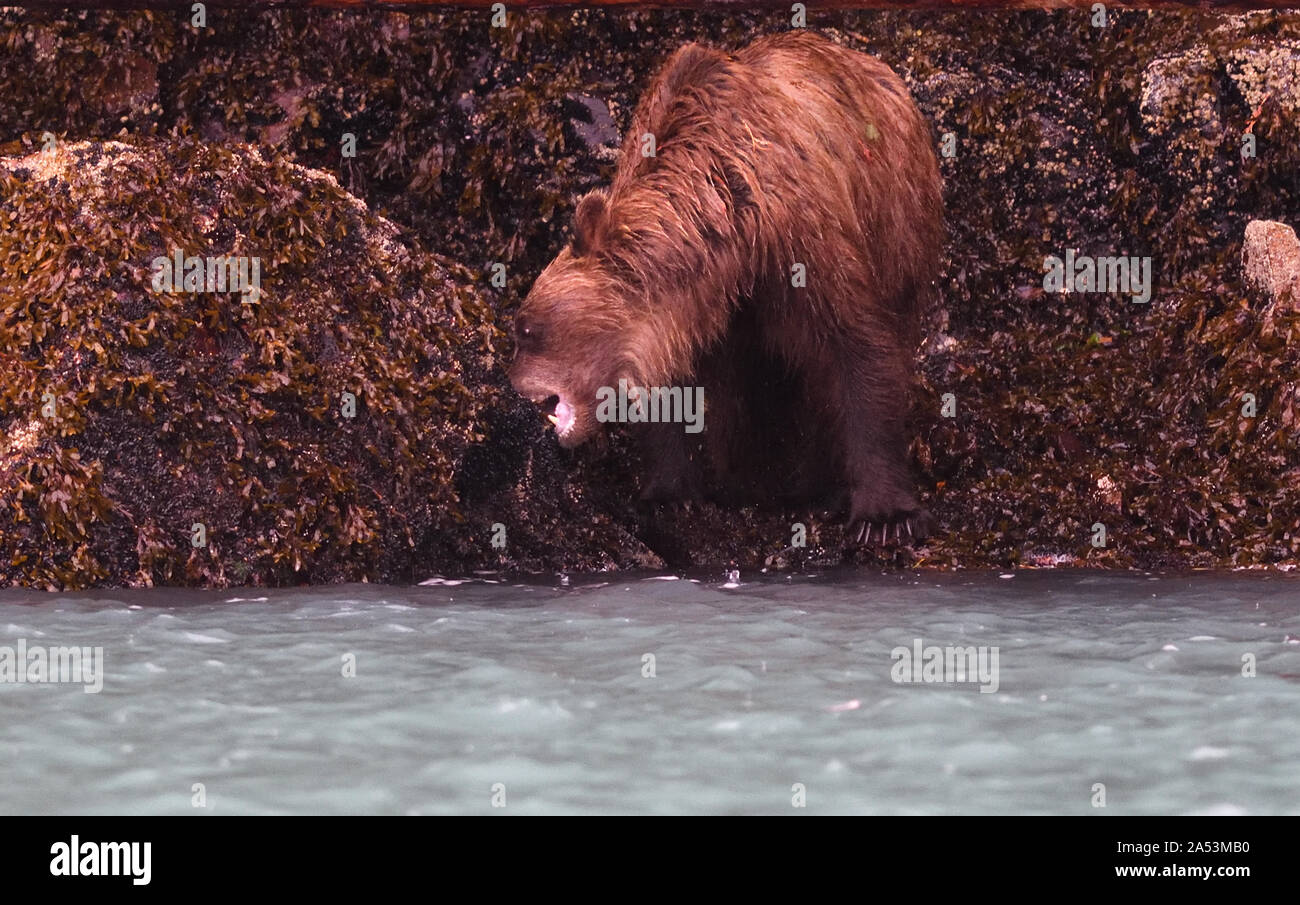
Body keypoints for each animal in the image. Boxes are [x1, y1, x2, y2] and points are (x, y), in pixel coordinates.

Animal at [509, 31, 944, 543]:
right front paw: (669, 493)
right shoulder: (682, 319)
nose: (514, 384)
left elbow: (857, 345)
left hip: (899, 220)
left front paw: (885, 516)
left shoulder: (802, 240)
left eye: (525, 329)